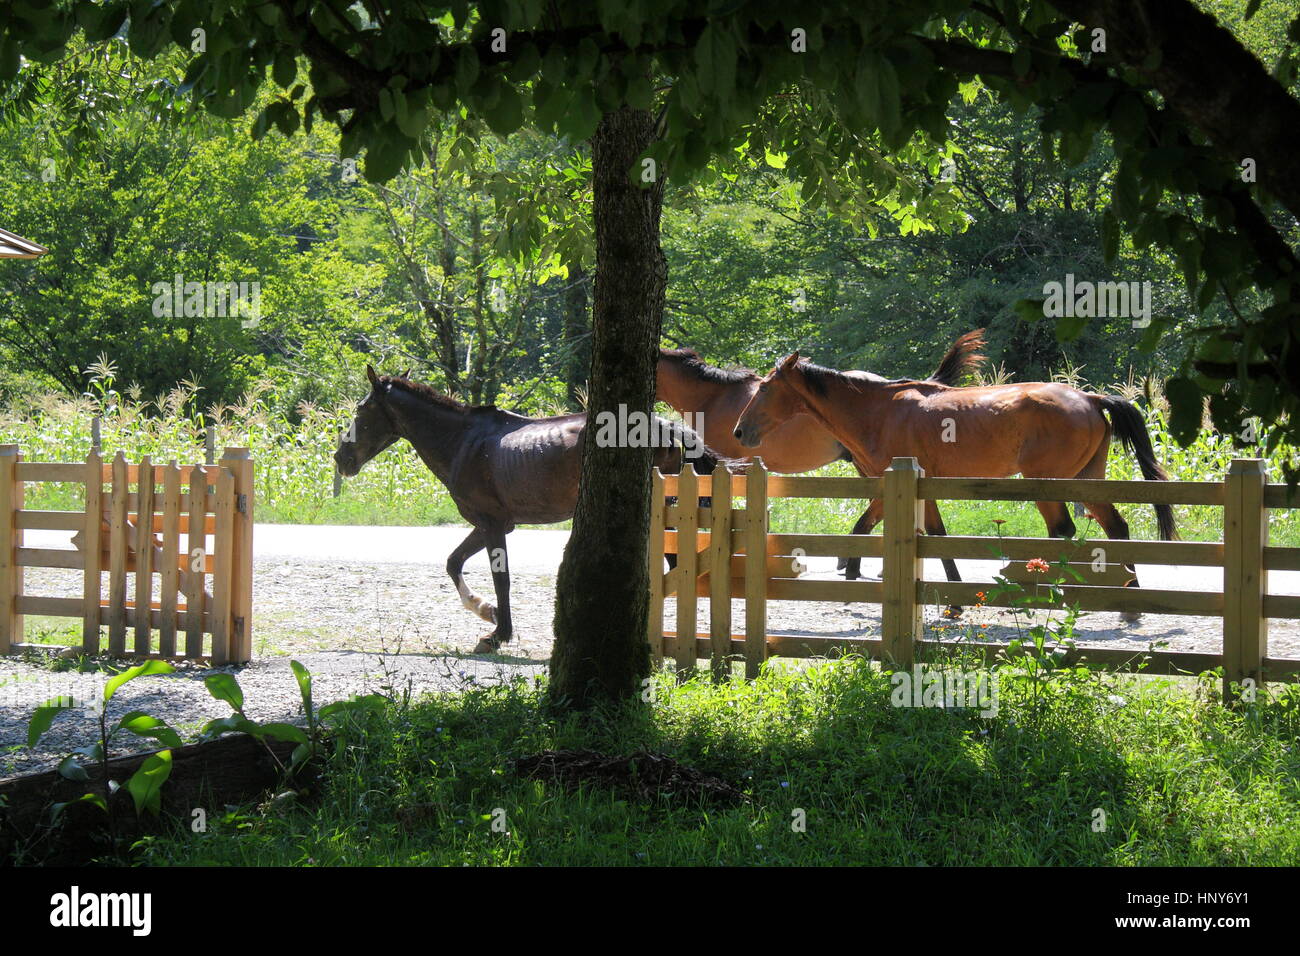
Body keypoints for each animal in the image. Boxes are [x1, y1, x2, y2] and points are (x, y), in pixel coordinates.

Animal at [334, 365, 733, 654]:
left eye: (362, 410)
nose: (341, 459)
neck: (463, 440)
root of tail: (669, 428)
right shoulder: (491, 524)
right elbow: (453, 562)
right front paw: (485, 610)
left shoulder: (492, 525)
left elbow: (502, 579)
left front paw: (497, 633)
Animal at [732, 352, 1176, 620]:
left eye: (766, 388)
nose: (739, 431)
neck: (879, 410)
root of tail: (1089, 397)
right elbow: (887, 528)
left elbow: (912, 533)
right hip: (1086, 481)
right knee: (1115, 528)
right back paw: (1129, 601)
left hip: (1051, 484)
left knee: (1063, 532)